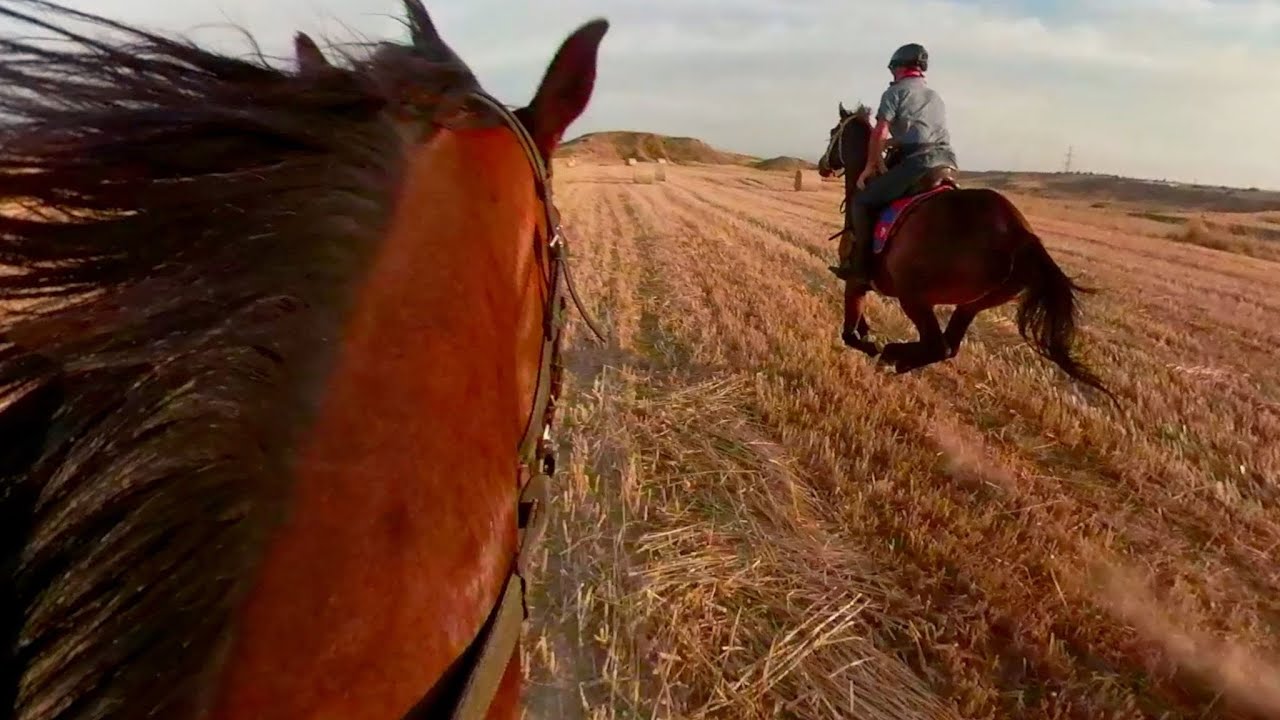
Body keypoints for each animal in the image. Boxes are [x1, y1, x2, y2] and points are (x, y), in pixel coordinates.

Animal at [816, 102, 1114, 401]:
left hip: (914, 296)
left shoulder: (855, 282)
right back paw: (900, 358)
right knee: (949, 346)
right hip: (972, 303)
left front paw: (870, 345)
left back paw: (892, 354)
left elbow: (850, 334)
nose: (822, 165)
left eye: (832, 132)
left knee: (938, 345)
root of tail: (1019, 233)